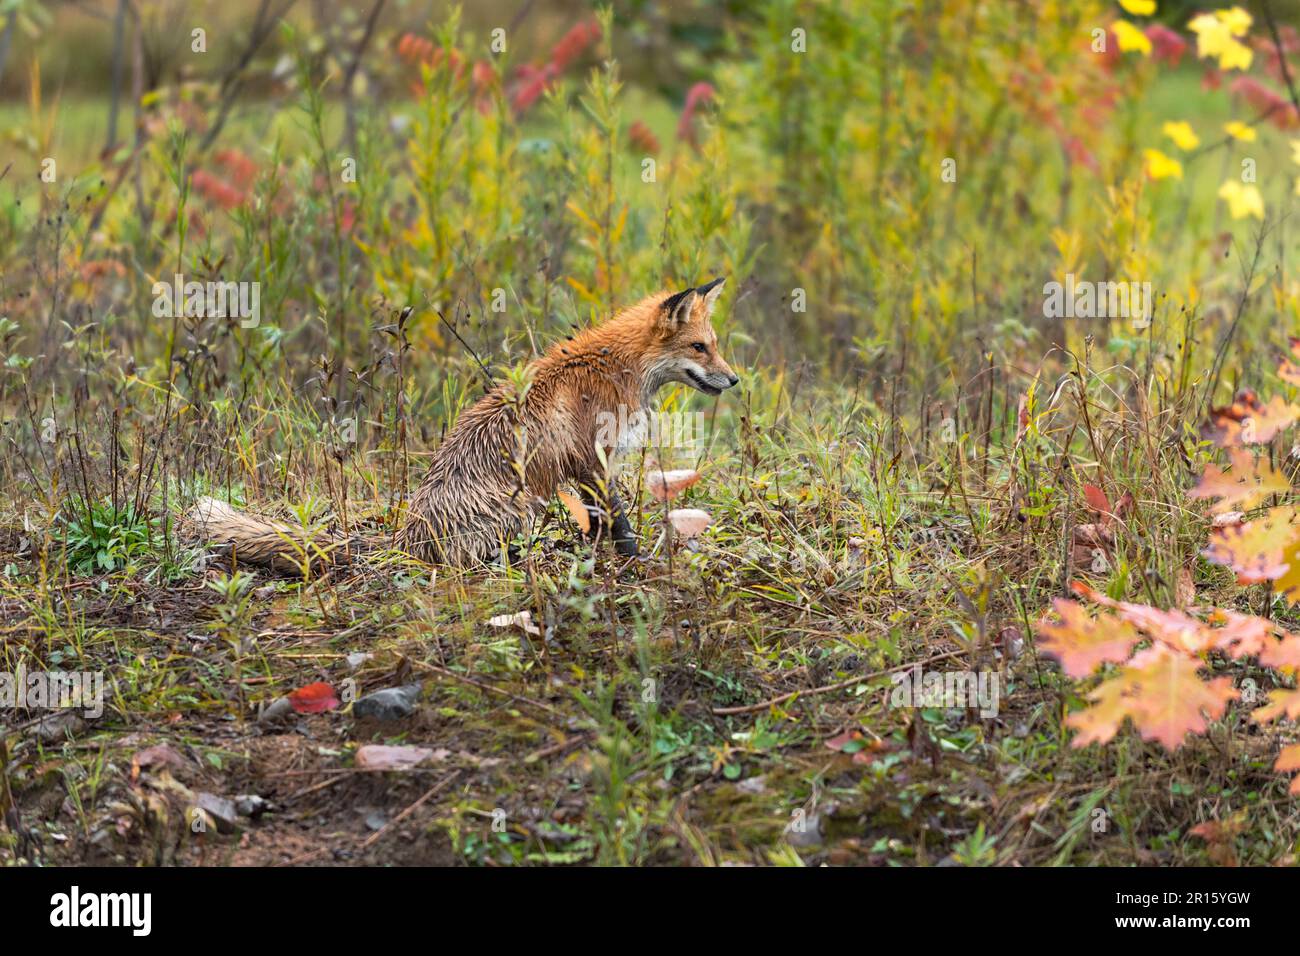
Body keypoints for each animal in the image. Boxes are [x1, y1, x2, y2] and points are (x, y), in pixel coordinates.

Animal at [190, 277, 739, 570]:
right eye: (699, 347)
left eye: (713, 344)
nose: (734, 379)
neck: (616, 368)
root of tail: (407, 536)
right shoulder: (591, 457)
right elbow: (619, 519)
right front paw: (633, 558)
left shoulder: (583, 465)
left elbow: (599, 521)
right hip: (520, 504)